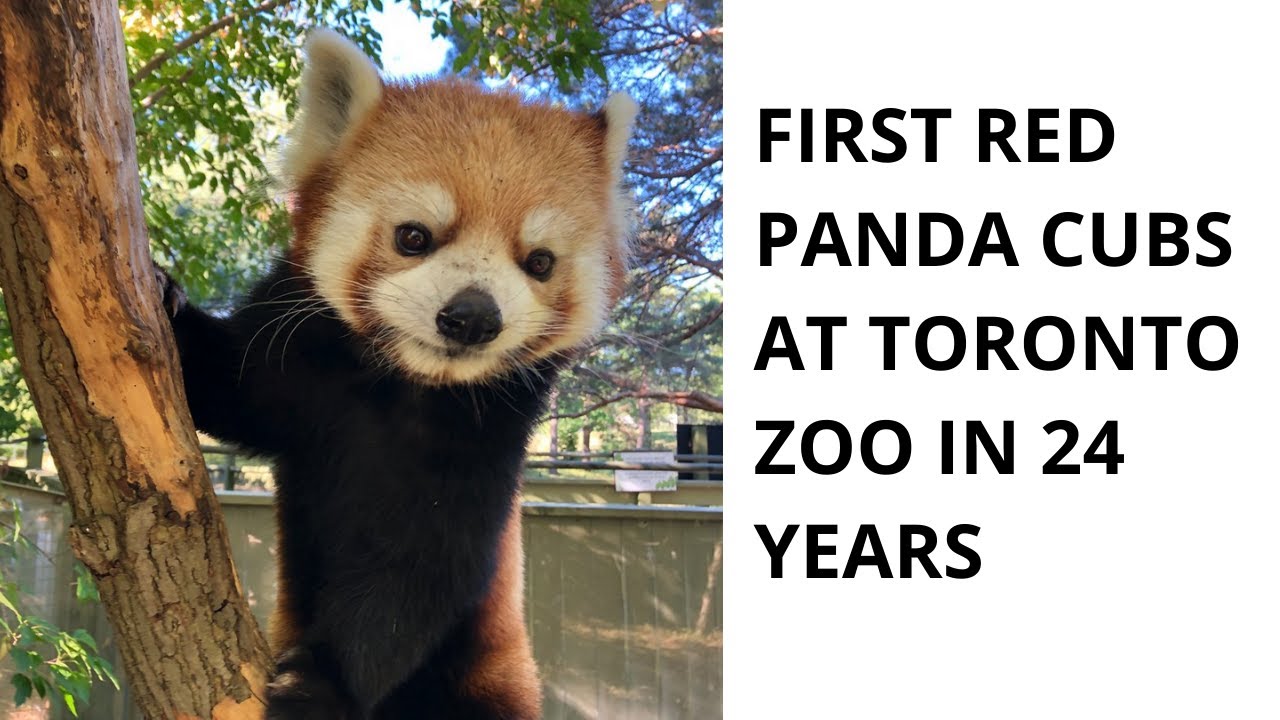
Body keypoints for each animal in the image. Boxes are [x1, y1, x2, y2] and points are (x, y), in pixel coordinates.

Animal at [157, 28, 635, 720]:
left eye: (539, 262)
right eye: (414, 236)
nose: (472, 317)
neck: (401, 385)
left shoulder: (485, 440)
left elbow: (418, 572)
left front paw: (321, 686)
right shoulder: (297, 366)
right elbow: (230, 388)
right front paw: (165, 300)